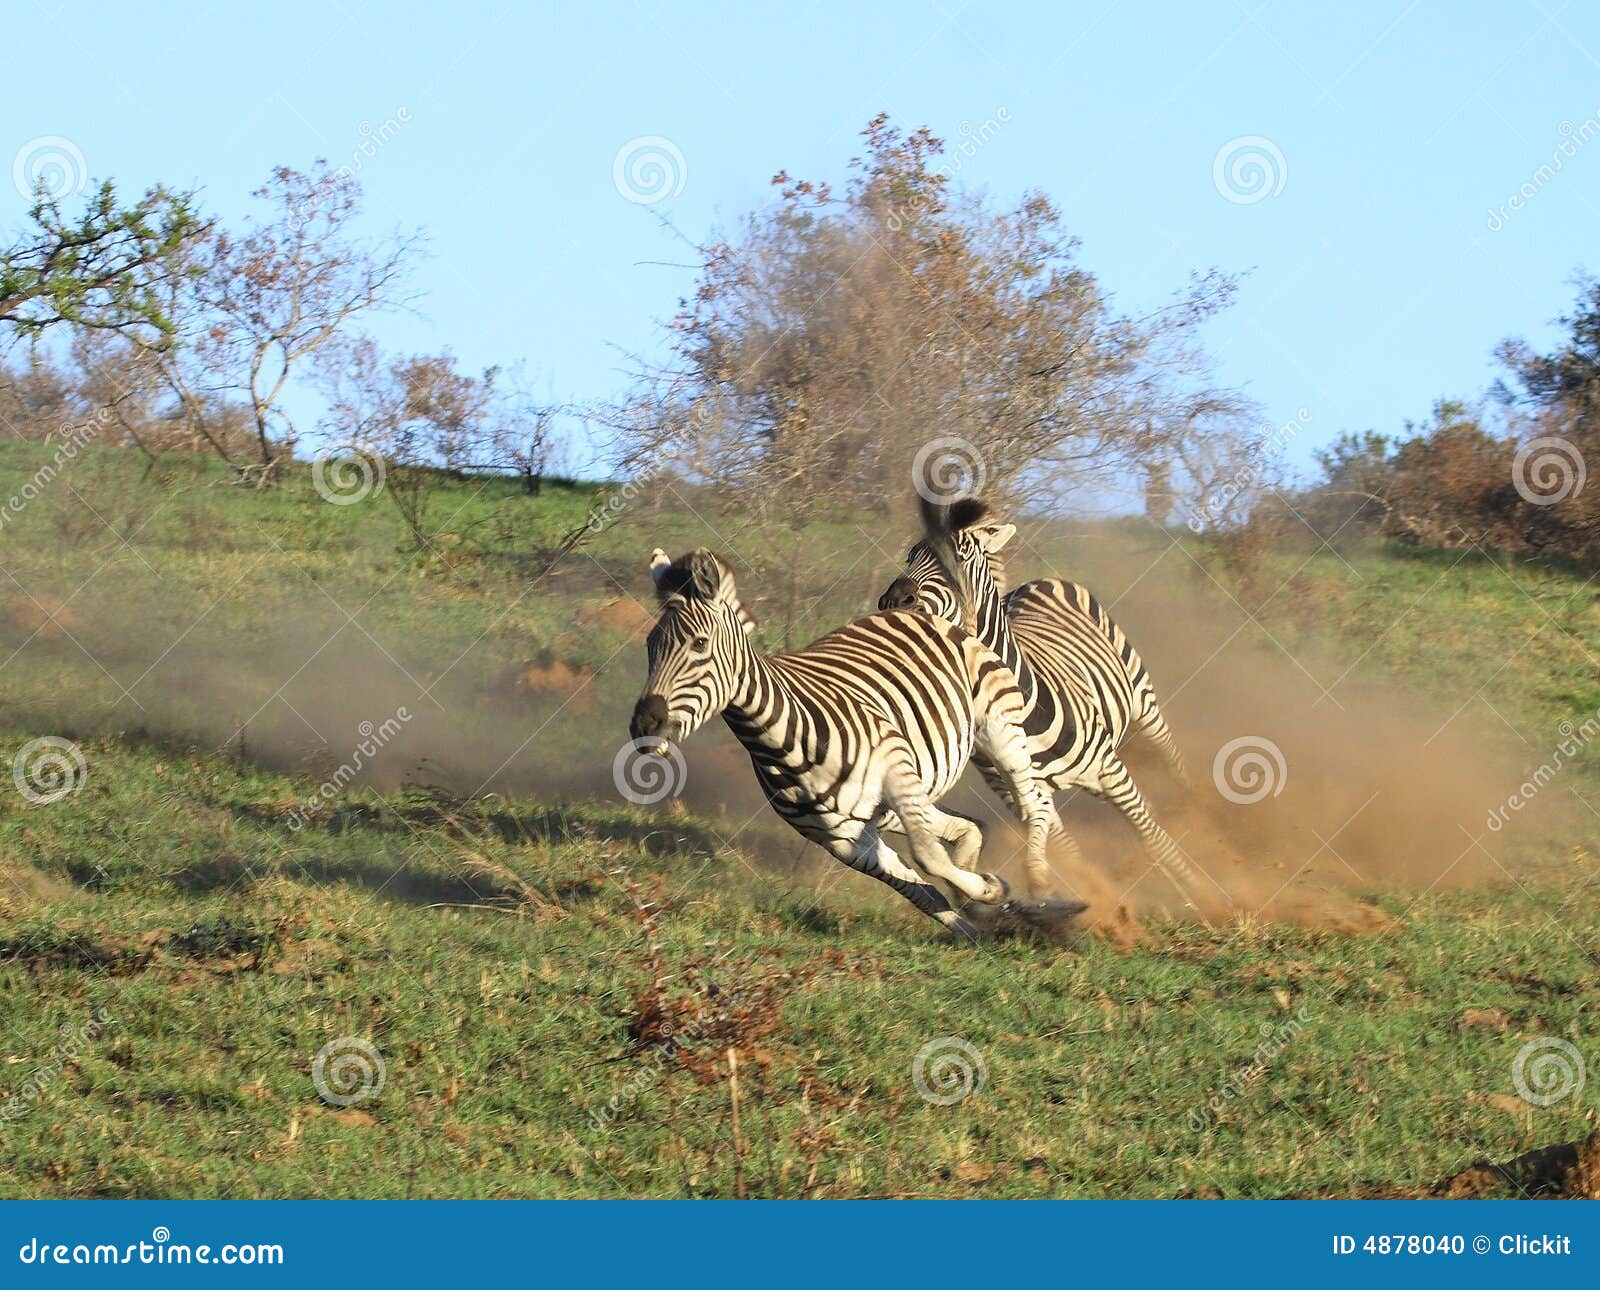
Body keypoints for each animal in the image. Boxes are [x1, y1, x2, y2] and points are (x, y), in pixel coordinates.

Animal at [629, 547, 1081, 938]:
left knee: (1034, 806)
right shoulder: (843, 840)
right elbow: (920, 891)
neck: (780, 742)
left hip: (996, 732)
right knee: (968, 827)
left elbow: (928, 857)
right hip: (887, 807)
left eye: (699, 644)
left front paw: (991, 891)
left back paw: (1041, 886)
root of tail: (914, 610)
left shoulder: (895, 769)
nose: (645, 724)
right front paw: (974, 927)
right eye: (649, 646)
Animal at [877, 498, 1196, 892]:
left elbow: (1154, 838)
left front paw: (1204, 896)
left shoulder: (1109, 768)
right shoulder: (1025, 796)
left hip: (1143, 702)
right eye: (910, 556)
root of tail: (1037, 582)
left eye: (959, 557)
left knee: (1171, 766)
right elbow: (1071, 856)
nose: (894, 599)